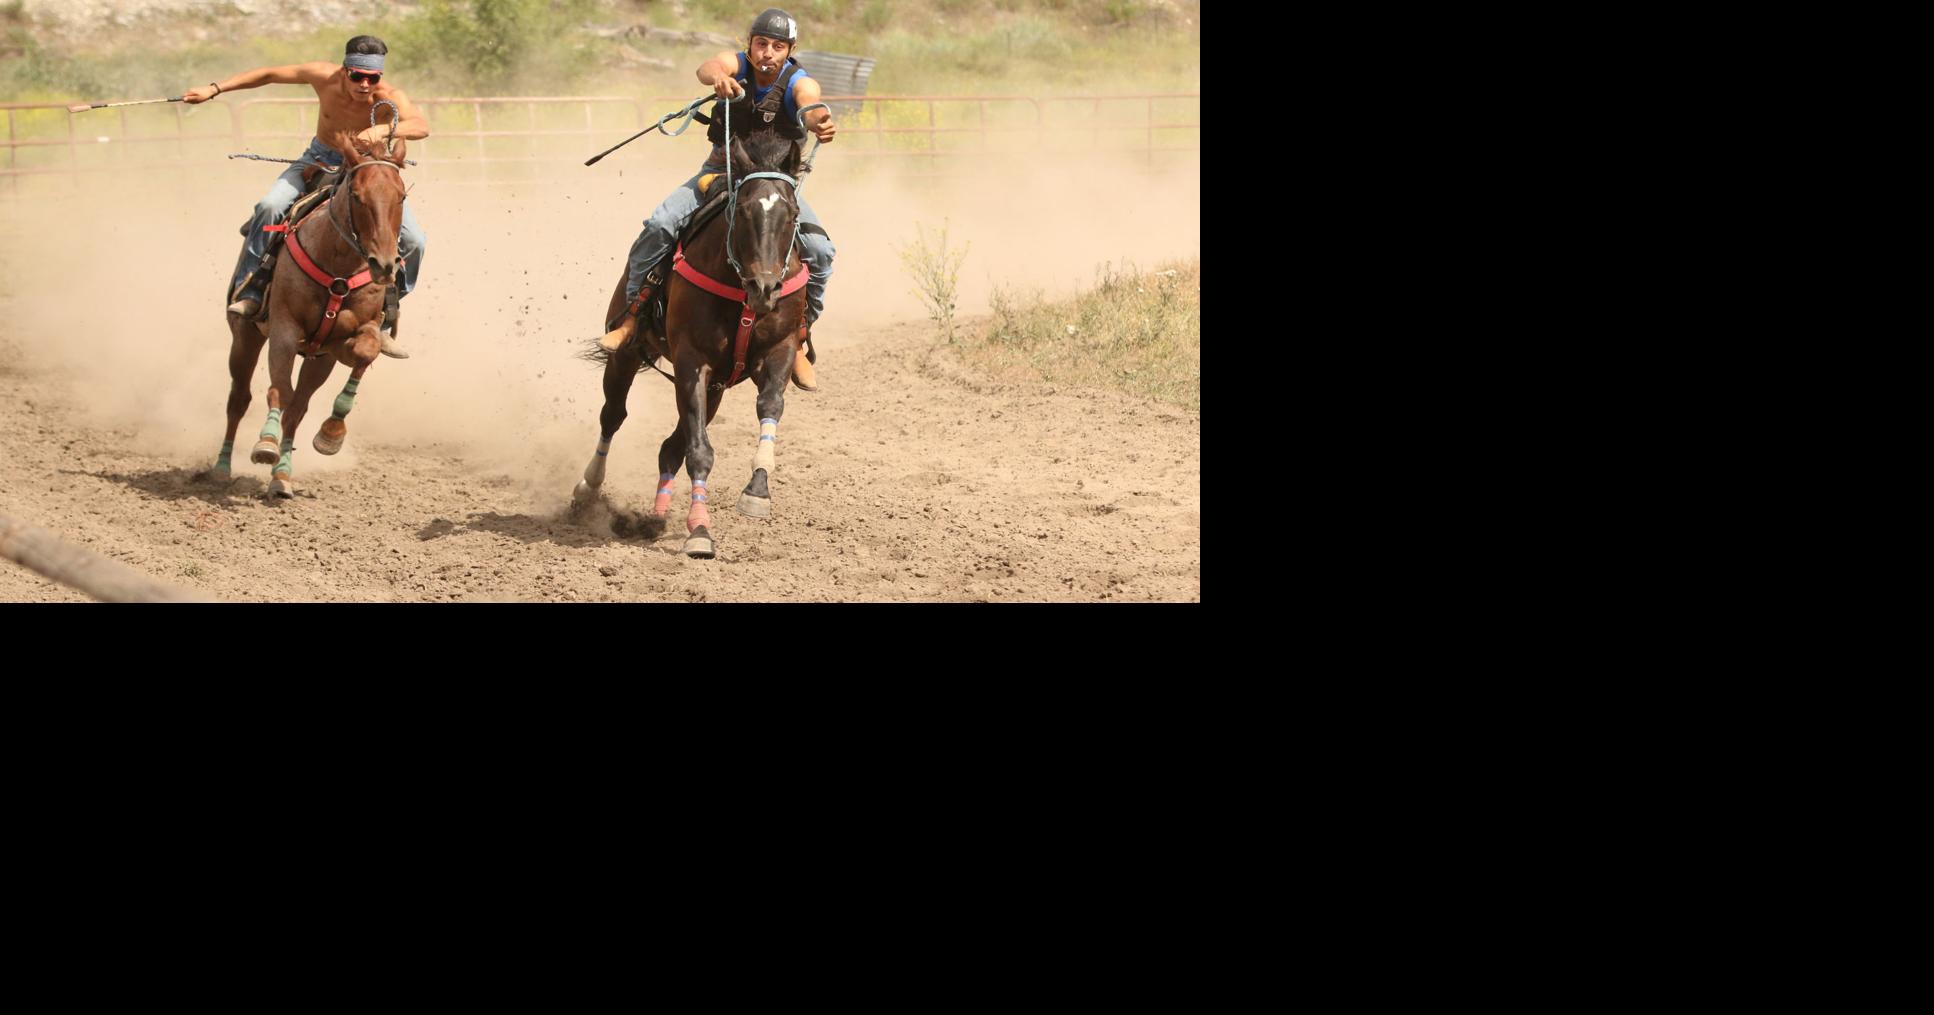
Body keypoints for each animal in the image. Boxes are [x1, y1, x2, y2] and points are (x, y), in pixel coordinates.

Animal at [211, 132, 407, 499]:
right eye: (357, 196)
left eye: (402, 196)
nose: (385, 265)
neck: (339, 265)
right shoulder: (284, 330)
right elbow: (279, 390)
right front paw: (266, 443)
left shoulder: (344, 341)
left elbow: (365, 352)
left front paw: (331, 434)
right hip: (245, 336)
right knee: (239, 398)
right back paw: (222, 467)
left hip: (318, 359)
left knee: (298, 410)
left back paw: (282, 477)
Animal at [575, 131, 812, 559]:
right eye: (743, 211)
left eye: (792, 212)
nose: (765, 288)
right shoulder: (691, 362)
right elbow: (700, 451)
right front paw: (700, 531)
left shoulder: (779, 350)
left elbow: (769, 407)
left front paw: (757, 491)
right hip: (626, 355)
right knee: (613, 416)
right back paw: (587, 489)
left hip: (716, 387)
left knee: (670, 447)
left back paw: (655, 516)